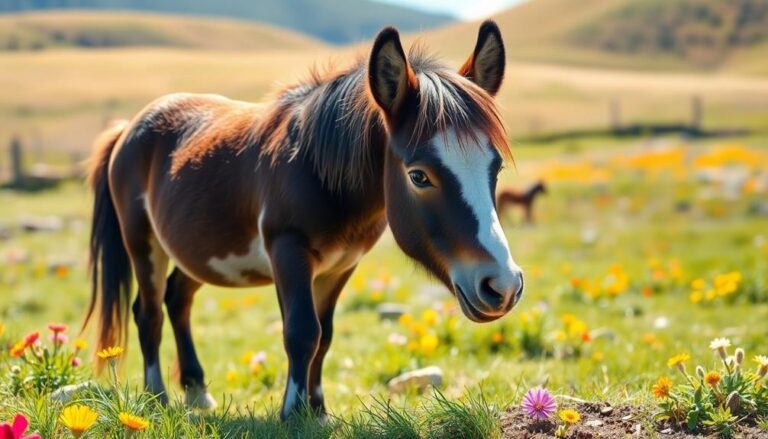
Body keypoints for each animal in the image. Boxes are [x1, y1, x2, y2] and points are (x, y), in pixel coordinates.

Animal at [84, 20, 524, 420]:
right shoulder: (288, 252)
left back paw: (196, 391)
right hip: (143, 244)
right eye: (419, 176)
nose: (502, 286)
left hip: (196, 251)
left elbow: (324, 335)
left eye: (496, 168)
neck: (318, 171)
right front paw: (293, 412)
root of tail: (129, 128)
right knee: (150, 313)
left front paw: (318, 408)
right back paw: (156, 397)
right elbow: (301, 331)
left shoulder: (341, 265)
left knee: (178, 301)